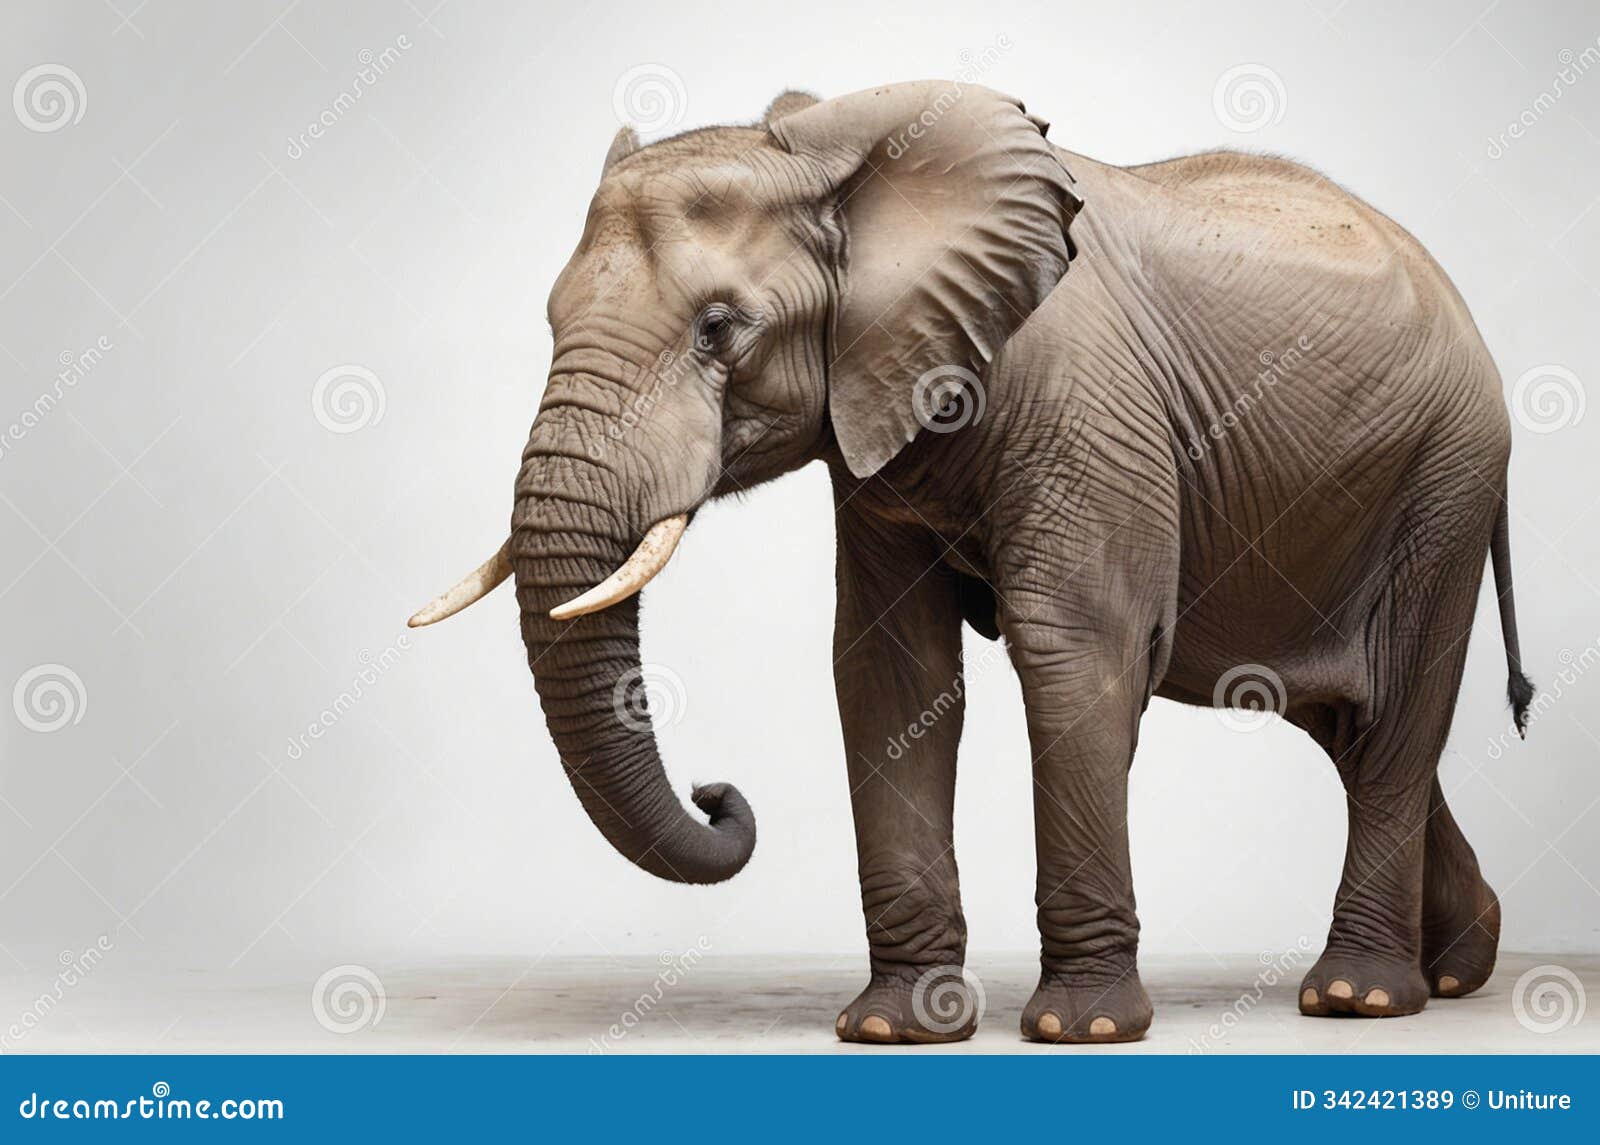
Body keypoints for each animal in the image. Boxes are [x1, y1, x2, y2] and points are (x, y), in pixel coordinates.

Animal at [410, 81, 1534, 1045]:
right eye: (551, 322)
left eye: (719, 329)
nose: (715, 791)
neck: (836, 162)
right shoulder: (877, 428)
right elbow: (889, 670)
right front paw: (893, 1027)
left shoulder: (1086, 405)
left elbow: (1073, 649)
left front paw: (1082, 1028)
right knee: (1346, 723)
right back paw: (1455, 965)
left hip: (1448, 473)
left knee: (1397, 704)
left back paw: (1358, 996)